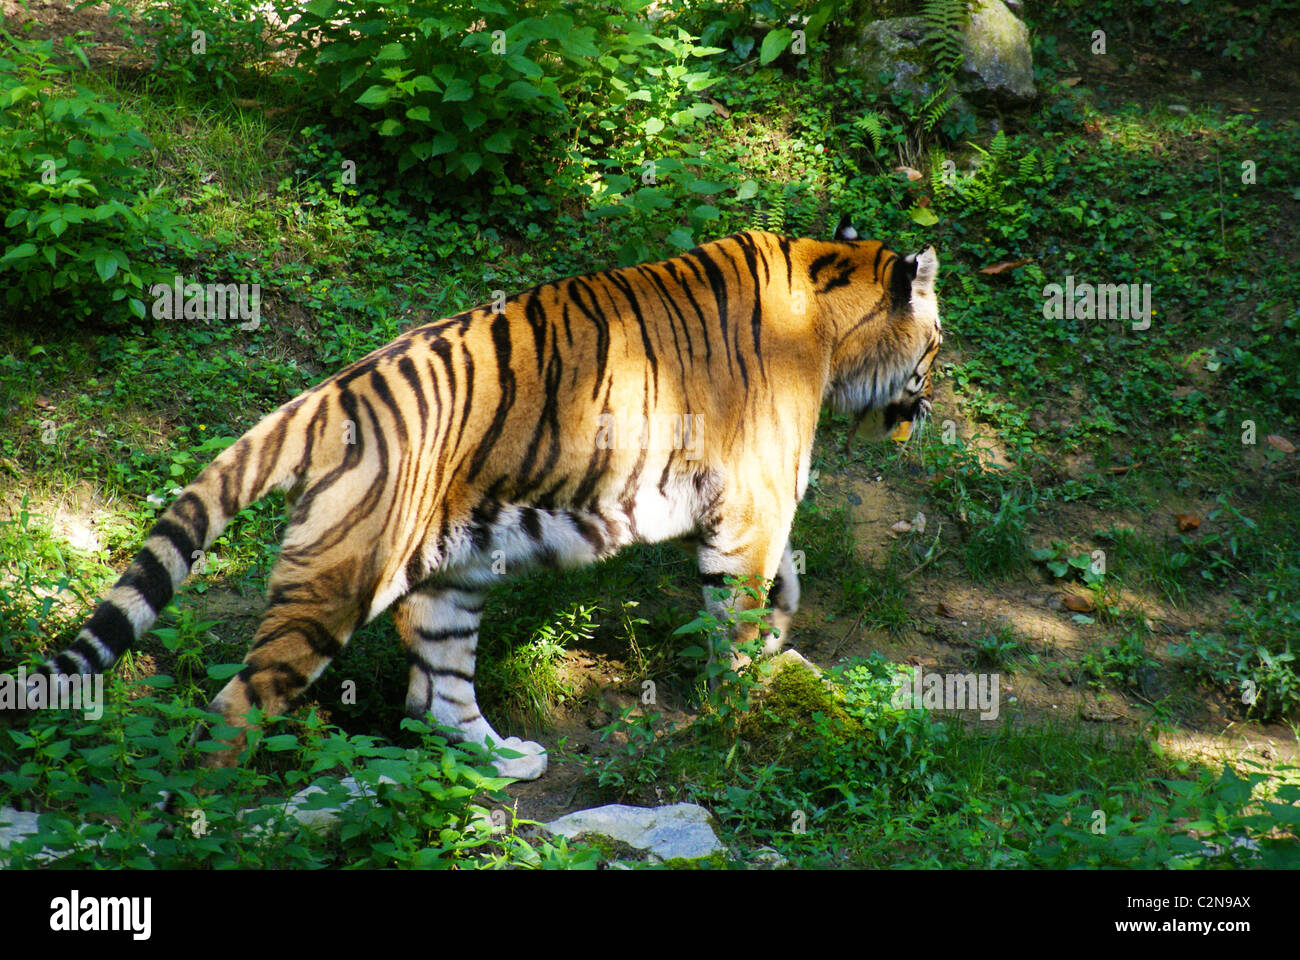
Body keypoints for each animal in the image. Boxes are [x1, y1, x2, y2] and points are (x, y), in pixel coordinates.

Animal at [25, 220, 941, 781]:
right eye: (936, 343)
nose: (928, 410)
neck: (828, 316)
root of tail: (327, 394)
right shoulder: (751, 505)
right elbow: (740, 614)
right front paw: (749, 702)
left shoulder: (733, 509)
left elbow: (778, 580)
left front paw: (779, 639)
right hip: (335, 583)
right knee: (236, 709)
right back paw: (217, 817)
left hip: (452, 574)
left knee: (437, 695)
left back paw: (504, 761)